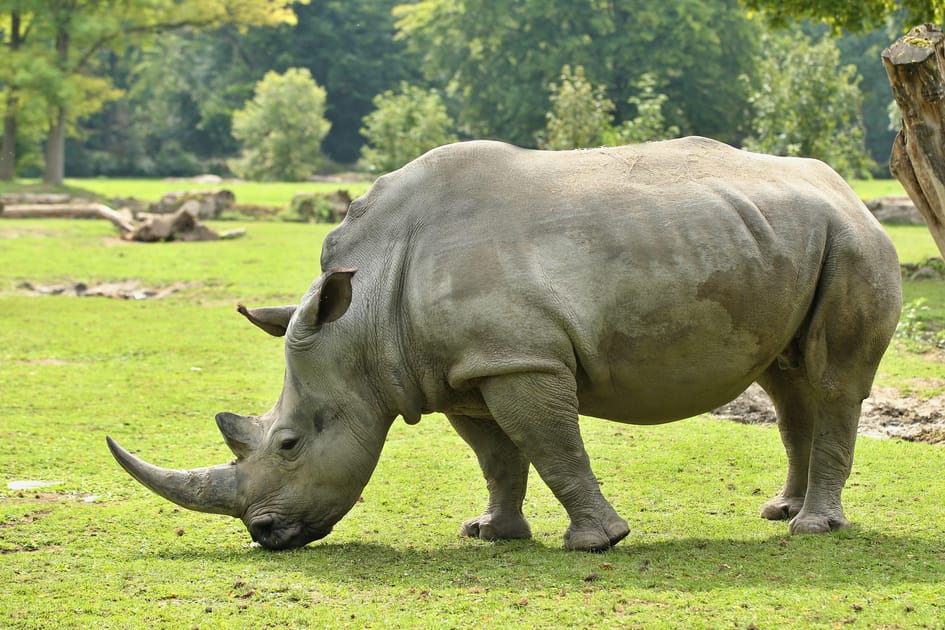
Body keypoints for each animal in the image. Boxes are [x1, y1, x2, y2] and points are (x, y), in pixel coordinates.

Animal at [107, 137, 902, 552]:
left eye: (290, 444)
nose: (264, 534)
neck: (363, 319)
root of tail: (848, 191)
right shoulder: (459, 369)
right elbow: (497, 456)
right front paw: (490, 533)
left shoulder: (519, 359)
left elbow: (551, 446)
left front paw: (593, 543)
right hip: (779, 241)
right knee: (785, 382)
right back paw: (779, 512)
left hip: (854, 243)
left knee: (833, 382)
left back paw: (813, 529)